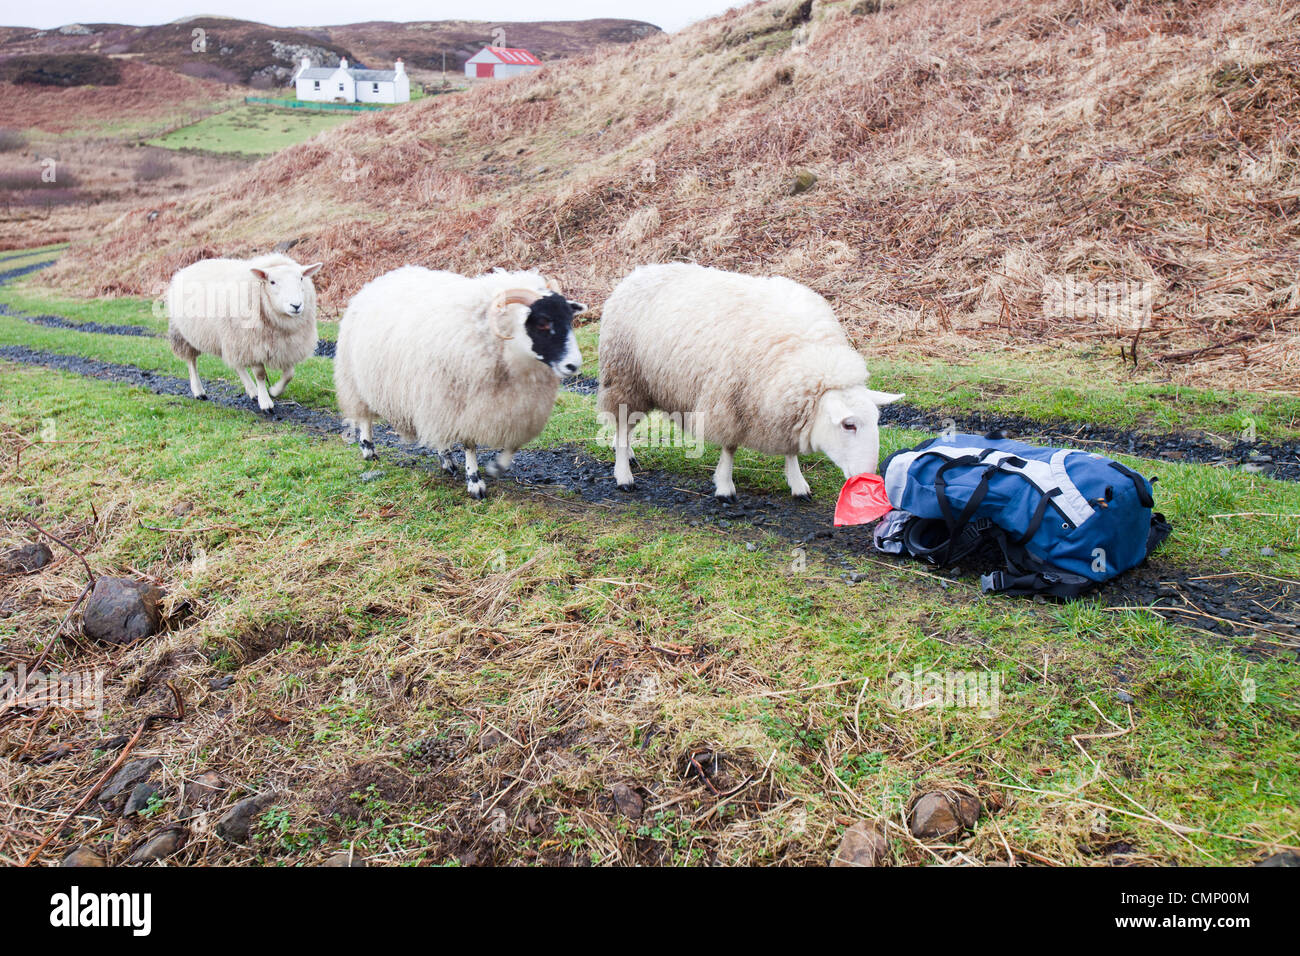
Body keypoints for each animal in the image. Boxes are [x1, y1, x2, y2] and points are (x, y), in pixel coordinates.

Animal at [166, 253, 322, 413]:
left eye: (301, 278)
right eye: (272, 282)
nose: (296, 305)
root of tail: (185, 269)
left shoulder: (286, 348)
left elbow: (290, 374)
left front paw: (274, 391)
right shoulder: (252, 344)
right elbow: (260, 375)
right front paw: (266, 402)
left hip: (230, 339)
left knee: (237, 365)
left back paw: (252, 391)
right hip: (184, 334)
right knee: (191, 361)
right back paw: (199, 391)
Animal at [334, 266, 585, 499]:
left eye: (570, 320)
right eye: (542, 323)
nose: (574, 365)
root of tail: (377, 281)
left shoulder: (518, 409)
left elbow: (513, 444)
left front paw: (496, 467)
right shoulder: (465, 403)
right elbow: (469, 444)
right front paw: (475, 482)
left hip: (431, 396)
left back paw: (447, 461)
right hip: (357, 378)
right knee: (364, 416)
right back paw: (369, 450)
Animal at [597, 263, 902, 501]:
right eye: (849, 425)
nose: (868, 476)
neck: (810, 353)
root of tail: (638, 272)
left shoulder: (783, 406)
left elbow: (790, 450)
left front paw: (798, 483)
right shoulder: (729, 402)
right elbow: (730, 447)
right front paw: (724, 486)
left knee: (624, 425)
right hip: (625, 377)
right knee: (623, 423)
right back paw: (623, 474)